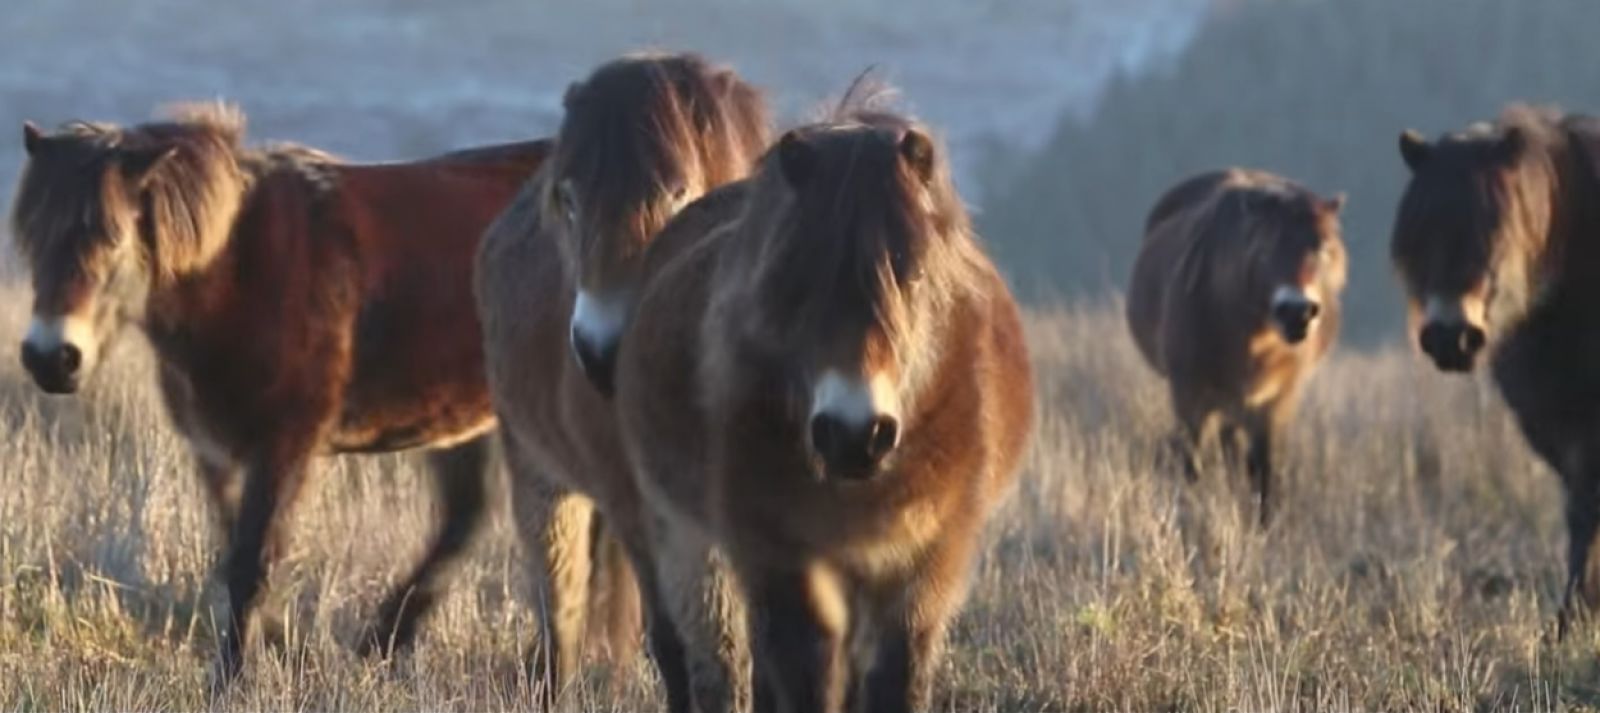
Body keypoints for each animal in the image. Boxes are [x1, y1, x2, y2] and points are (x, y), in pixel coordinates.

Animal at [10, 102, 549, 683]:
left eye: (112, 238)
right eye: (33, 236)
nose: (51, 358)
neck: (238, 271)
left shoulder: (285, 443)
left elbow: (254, 559)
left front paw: (232, 676)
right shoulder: (215, 447)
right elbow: (235, 551)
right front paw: (282, 645)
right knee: (467, 519)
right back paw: (393, 641)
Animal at [473, 52, 770, 710]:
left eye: (678, 192)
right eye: (569, 199)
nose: (597, 351)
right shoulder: (640, 509)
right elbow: (675, 643)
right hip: (542, 480)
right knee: (561, 610)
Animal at [609, 85, 1034, 713]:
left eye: (913, 274)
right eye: (796, 279)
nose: (855, 435)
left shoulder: (926, 563)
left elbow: (894, 682)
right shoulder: (782, 558)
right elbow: (805, 675)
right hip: (687, 542)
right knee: (710, 658)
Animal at [1126, 168, 1347, 526]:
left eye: (1322, 247)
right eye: (1266, 244)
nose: (1297, 312)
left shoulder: (1275, 401)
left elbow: (1263, 469)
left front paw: (1264, 525)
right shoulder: (1188, 393)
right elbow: (1190, 461)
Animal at [1391, 104, 1600, 636]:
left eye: (1494, 229)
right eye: (1419, 237)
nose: (1451, 338)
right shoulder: (1558, 421)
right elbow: (1580, 511)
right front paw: (1572, 617)